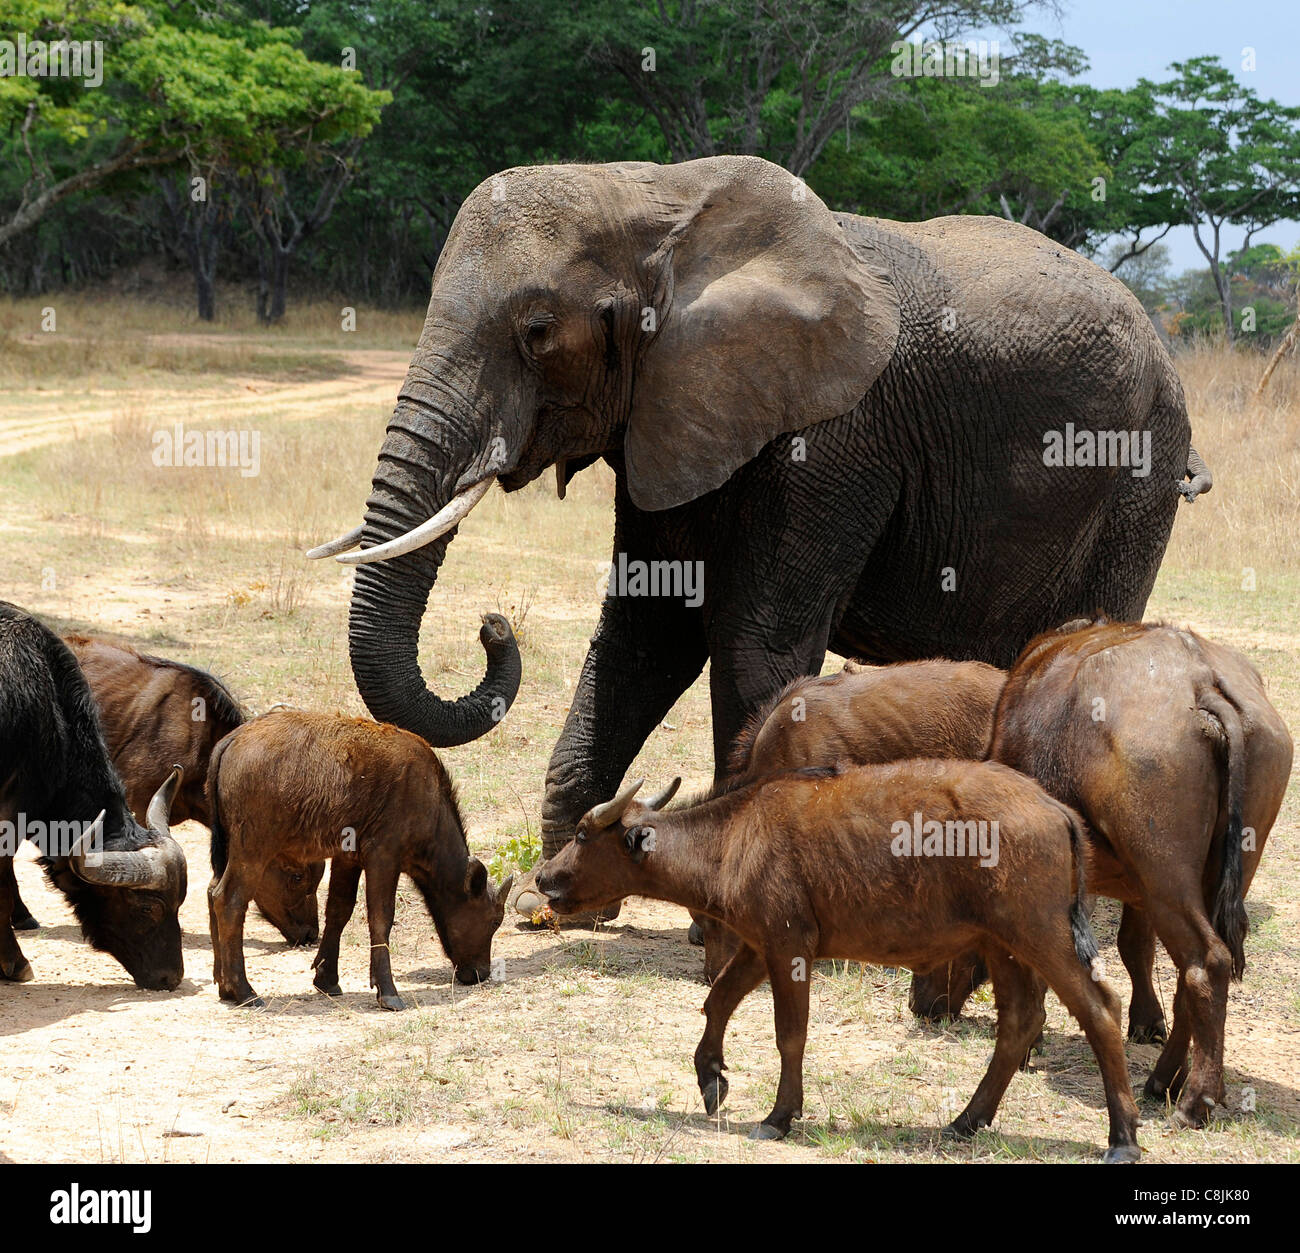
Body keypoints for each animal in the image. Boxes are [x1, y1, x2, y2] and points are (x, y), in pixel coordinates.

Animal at [311, 155, 1195, 921]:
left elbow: (751, 642)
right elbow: (645, 634)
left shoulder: (835, 439)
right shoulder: (670, 415)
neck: (659, 198)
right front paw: (552, 901)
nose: (493, 626)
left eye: (536, 330)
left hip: (1138, 474)